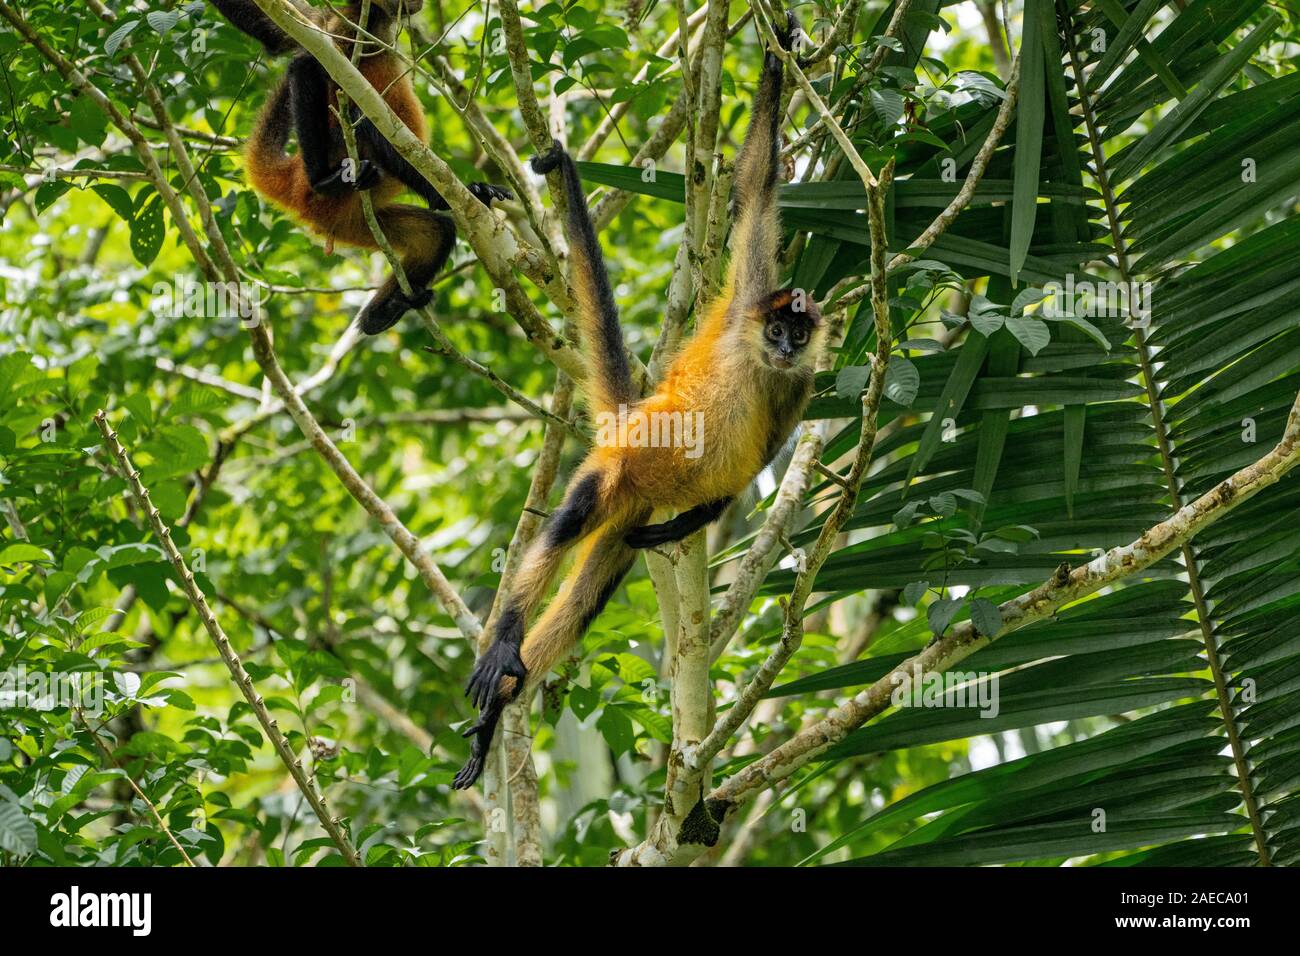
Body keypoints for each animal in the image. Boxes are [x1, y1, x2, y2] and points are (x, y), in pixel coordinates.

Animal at [209, 0, 512, 334]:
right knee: (360, 117)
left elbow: (278, 33)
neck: (379, 22)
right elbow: (305, 63)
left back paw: (379, 315)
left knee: (436, 233)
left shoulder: (330, 18)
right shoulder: (348, 25)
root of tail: (295, 177)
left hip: (351, 223)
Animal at [453, 10, 821, 789]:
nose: (783, 342)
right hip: (616, 467)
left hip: (630, 513)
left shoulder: (799, 385)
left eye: (800, 333)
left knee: (590, 592)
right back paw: (503, 647)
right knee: (572, 517)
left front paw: (701, 518)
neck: (762, 365)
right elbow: (755, 188)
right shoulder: (746, 299)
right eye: (776, 325)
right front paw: (779, 53)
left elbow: (764, 453)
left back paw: (499, 710)